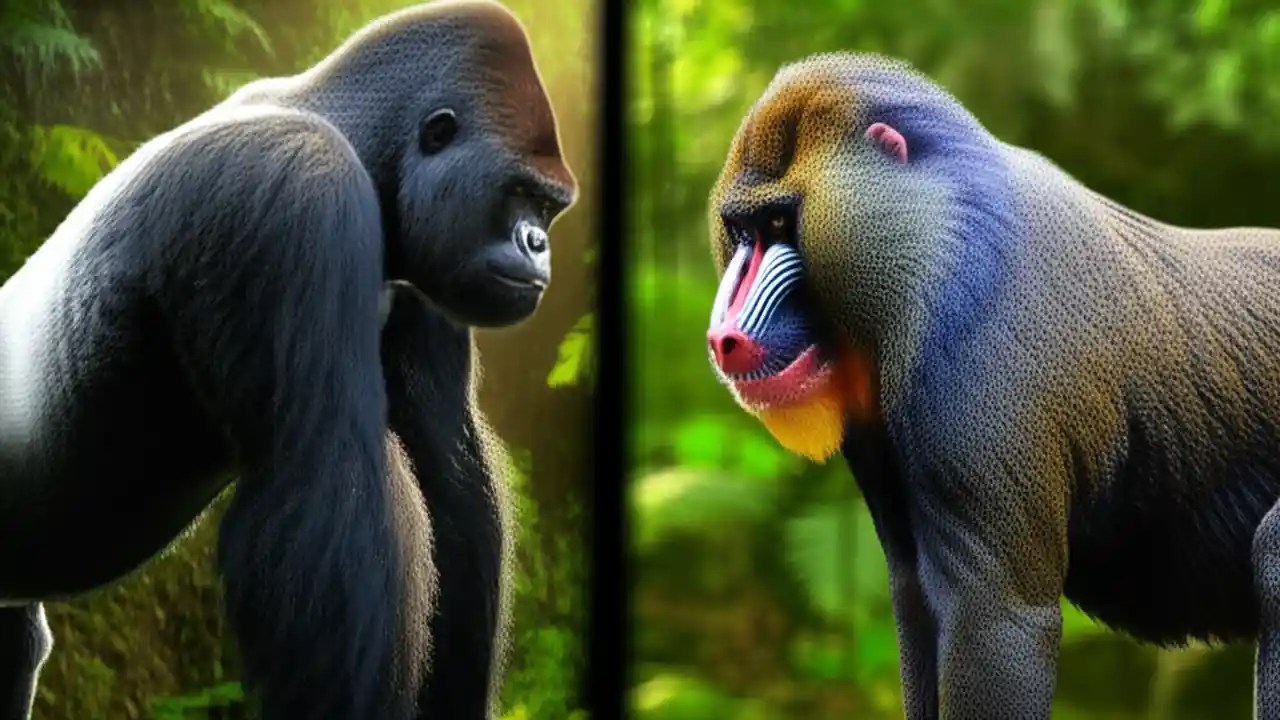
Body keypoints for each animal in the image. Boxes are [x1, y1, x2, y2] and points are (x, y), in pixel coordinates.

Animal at [0, 1, 576, 718]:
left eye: (549, 208)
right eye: (523, 196)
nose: (538, 247)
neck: (342, 123)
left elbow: (453, 473)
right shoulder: (294, 185)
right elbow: (317, 481)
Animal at [706, 52, 1280, 720]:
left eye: (778, 220)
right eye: (742, 231)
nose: (724, 338)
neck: (938, 243)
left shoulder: (970, 371)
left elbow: (999, 620)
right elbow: (917, 605)